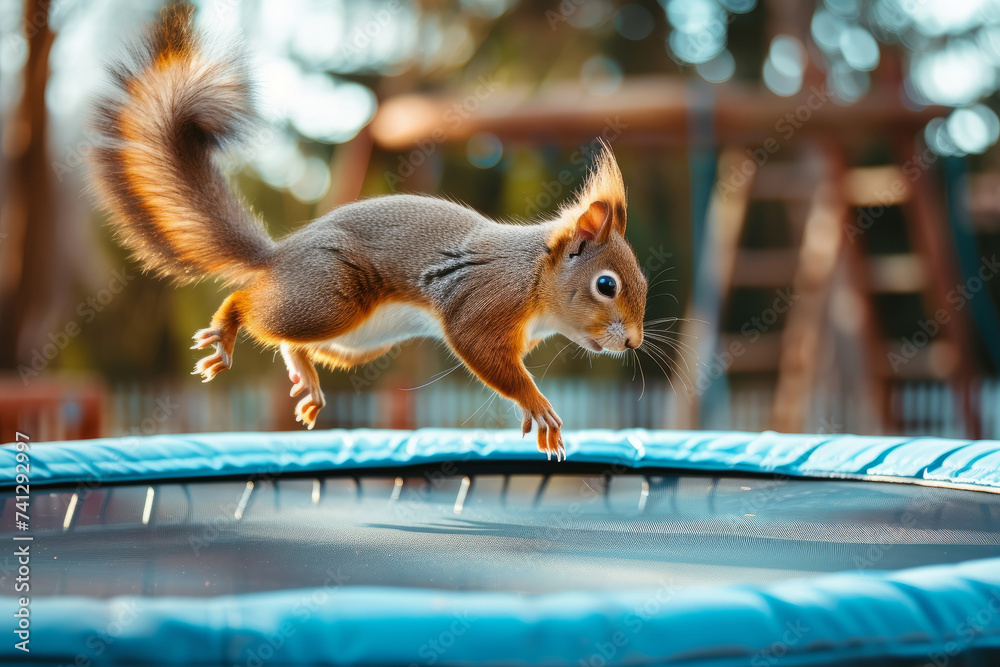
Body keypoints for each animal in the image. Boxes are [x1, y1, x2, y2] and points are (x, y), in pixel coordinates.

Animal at [88, 4, 647, 459]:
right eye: (606, 285)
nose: (634, 343)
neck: (535, 279)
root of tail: (278, 256)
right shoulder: (483, 301)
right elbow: (484, 354)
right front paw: (539, 406)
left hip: (355, 341)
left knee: (287, 339)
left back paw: (304, 375)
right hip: (328, 299)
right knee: (248, 304)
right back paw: (228, 328)